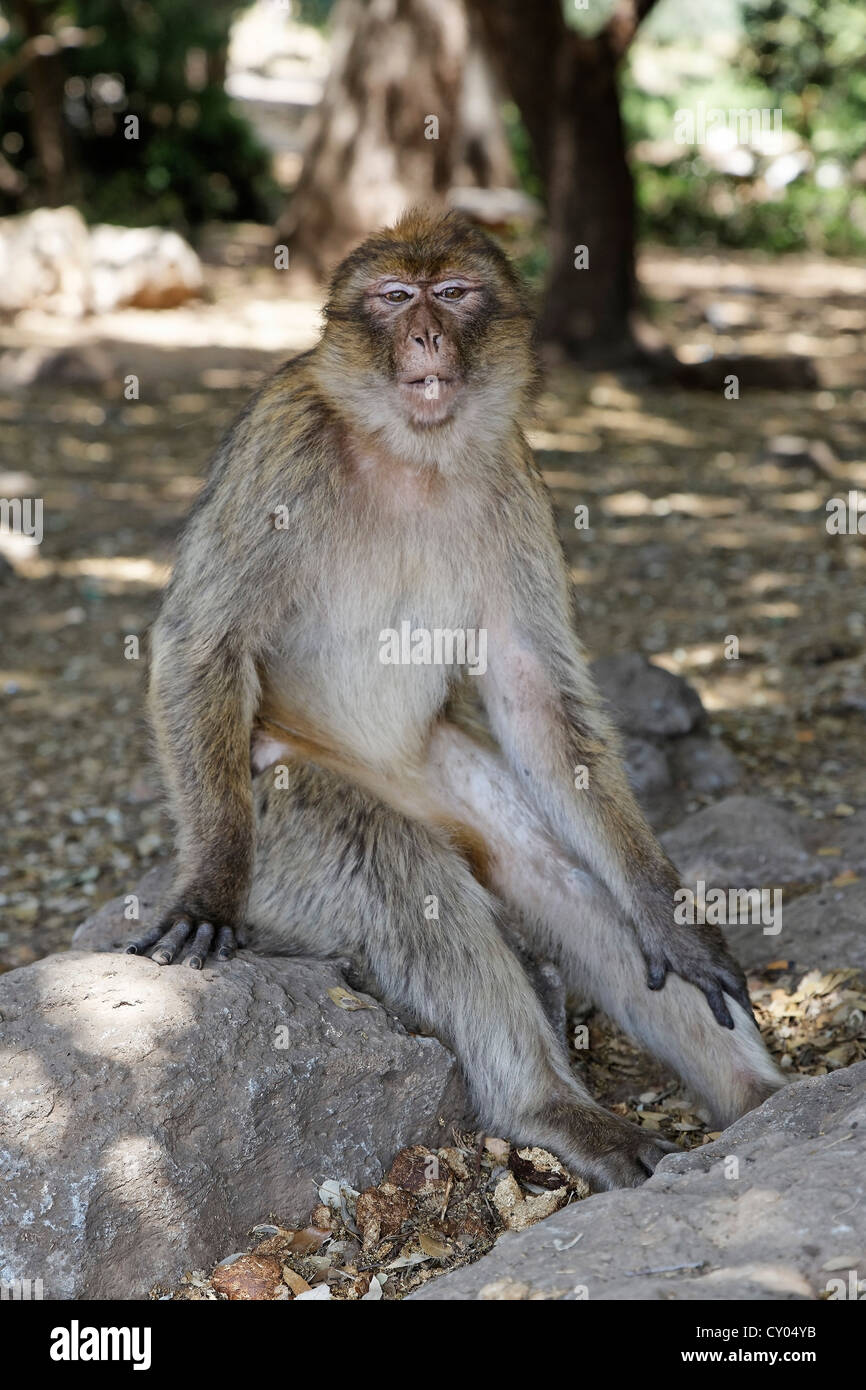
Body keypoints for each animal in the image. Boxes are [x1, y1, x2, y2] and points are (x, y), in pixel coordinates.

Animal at [127, 209, 785, 1191]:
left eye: (457, 293)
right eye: (397, 296)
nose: (428, 335)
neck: (413, 454)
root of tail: (390, 771)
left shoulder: (513, 475)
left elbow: (534, 693)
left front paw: (673, 923)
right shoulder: (282, 444)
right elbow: (202, 644)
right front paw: (206, 892)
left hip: (441, 764)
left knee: (556, 871)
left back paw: (760, 1099)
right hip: (274, 817)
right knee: (403, 876)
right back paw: (548, 1109)